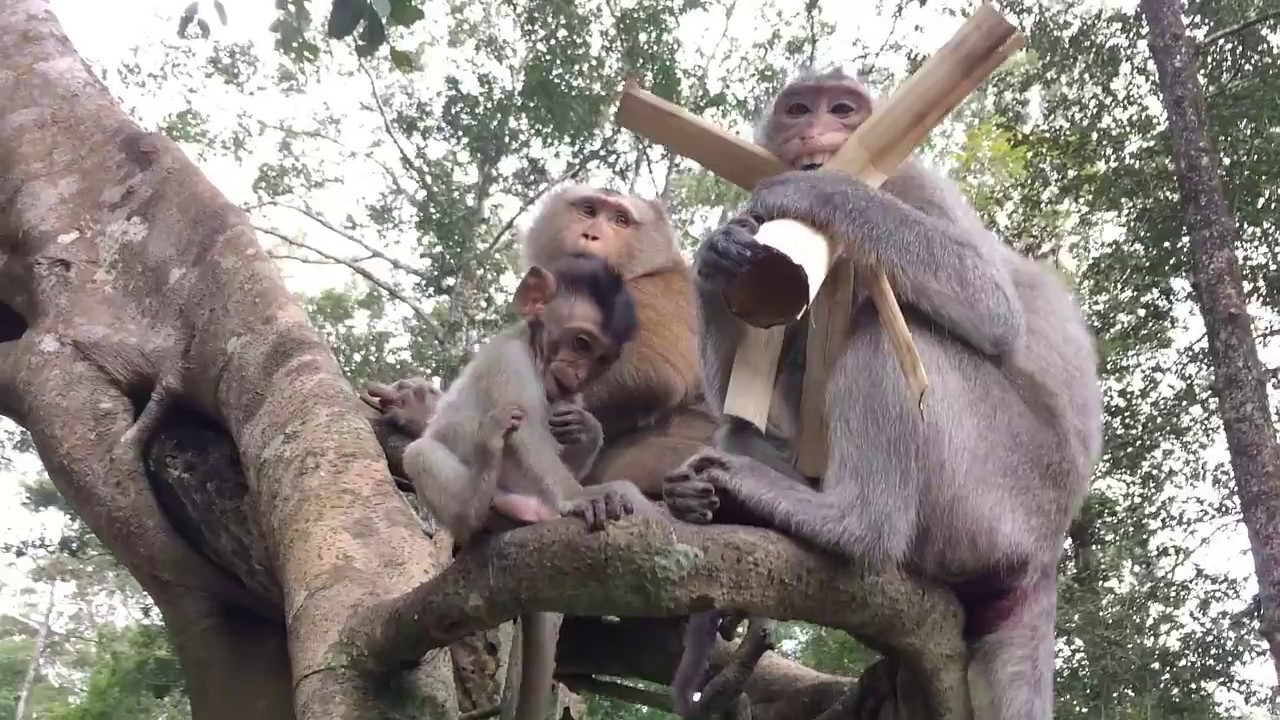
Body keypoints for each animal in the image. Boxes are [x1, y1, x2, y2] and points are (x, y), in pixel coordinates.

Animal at [373, 253, 660, 720]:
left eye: (600, 360)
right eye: (582, 344)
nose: (578, 373)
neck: (535, 354)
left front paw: (587, 431)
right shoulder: (510, 360)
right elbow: (526, 433)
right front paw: (581, 497)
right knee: (420, 454)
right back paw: (477, 504)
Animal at [663, 67, 1103, 719]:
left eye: (843, 109)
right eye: (798, 109)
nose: (816, 130)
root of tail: (1048, 546)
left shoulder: (913, 182)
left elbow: (993, 309)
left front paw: (818, 192)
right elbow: (755, 396)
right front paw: (718, 256)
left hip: (1005, 487)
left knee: (888, 335)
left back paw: (852, 523)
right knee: (744, 427)